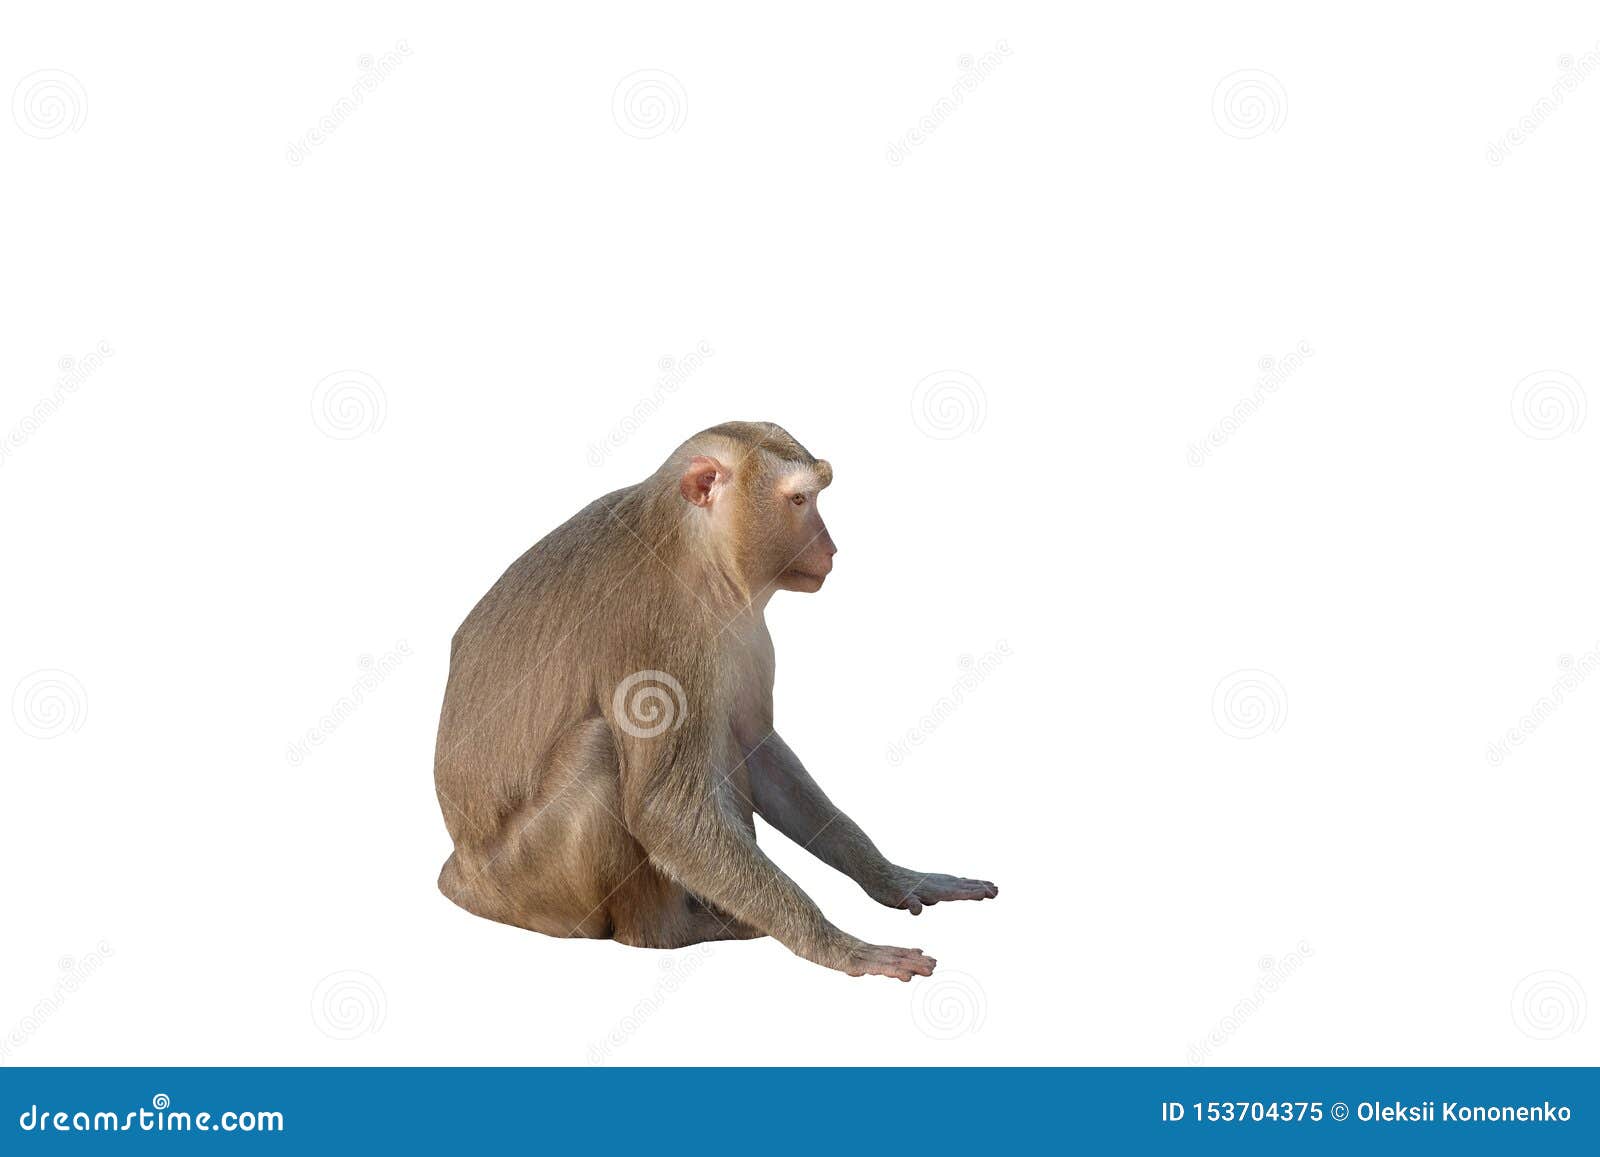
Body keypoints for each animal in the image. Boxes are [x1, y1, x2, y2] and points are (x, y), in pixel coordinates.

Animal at [433, 421, 997, 980]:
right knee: (602, 750)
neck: (691, 546)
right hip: (533, 882)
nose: (832, 548)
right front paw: (838, 946)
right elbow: (665, 812)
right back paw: (672, 931)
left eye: (814, 498)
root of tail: (463, 873)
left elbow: (758, 748)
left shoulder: (746, 628)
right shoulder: (662, 630)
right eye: (799, 500)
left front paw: (893, 878)